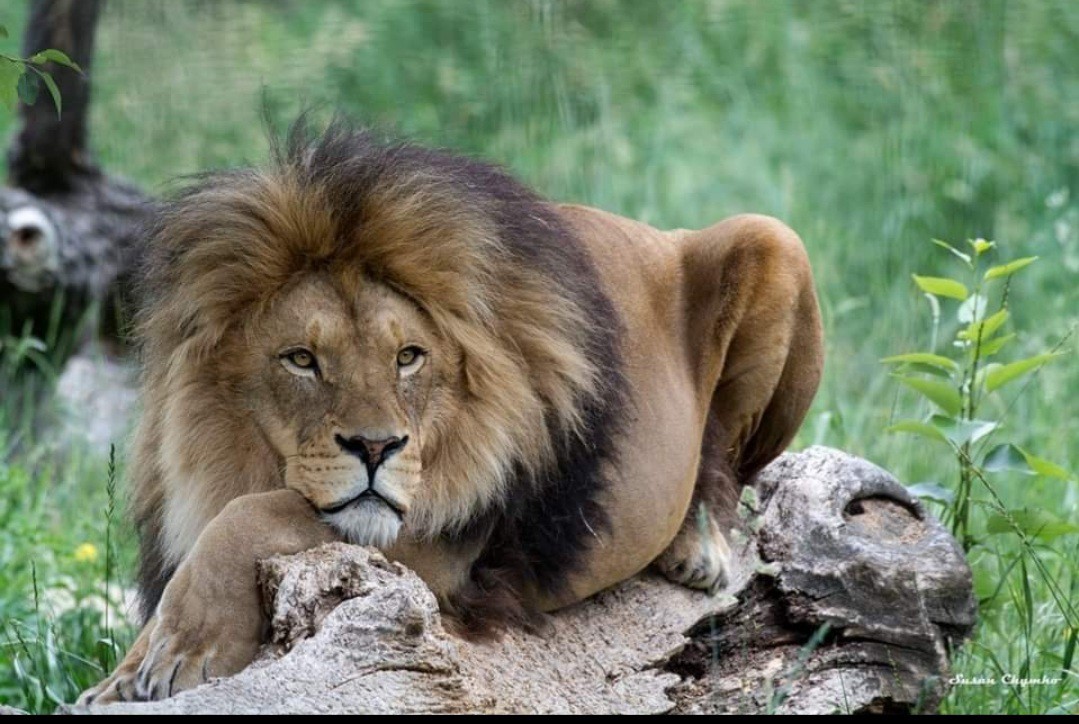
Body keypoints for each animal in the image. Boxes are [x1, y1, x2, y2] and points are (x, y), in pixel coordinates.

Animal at [79, 122, 823, 704]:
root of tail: (654, 230)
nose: (375, 448)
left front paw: (189, 644)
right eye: (302, 360)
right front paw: (118, 681)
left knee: (725, 462)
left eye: (409, 357)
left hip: (773, 237)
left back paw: (698, 547)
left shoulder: (443, 552)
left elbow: (258, 513)